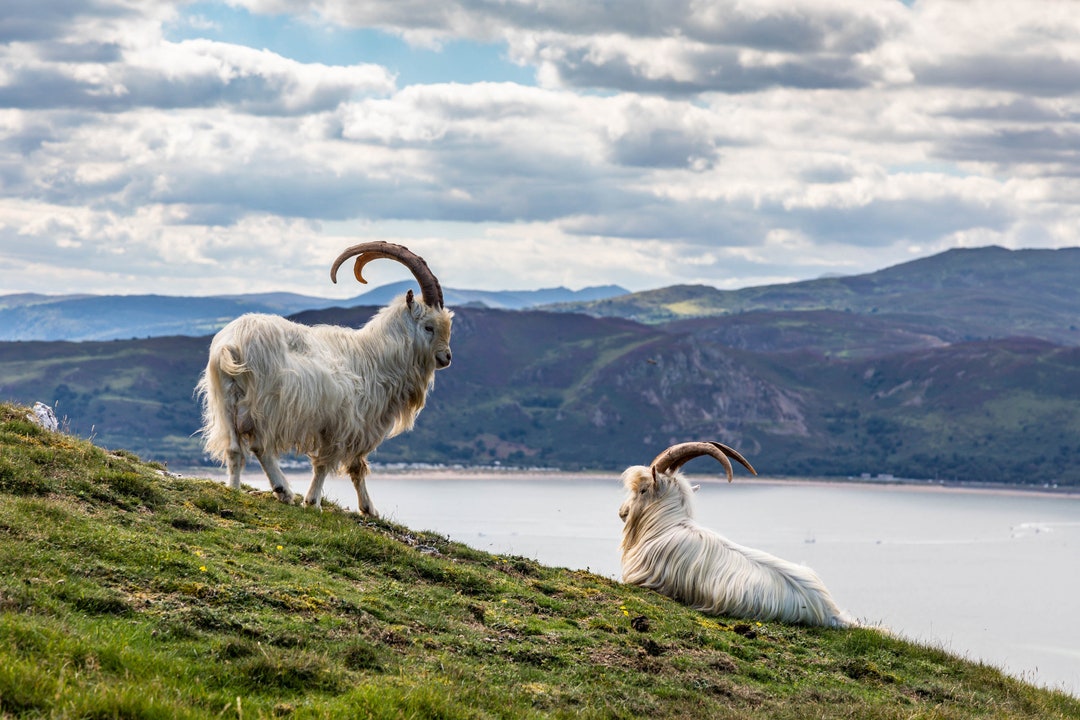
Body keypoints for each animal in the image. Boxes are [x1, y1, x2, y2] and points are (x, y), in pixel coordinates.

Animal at [196, 242, 453, 517]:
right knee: (261, 447)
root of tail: (232, 344)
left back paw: (234, 489)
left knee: (234, 449)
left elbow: (355, 467)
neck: (374, 356)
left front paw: (367, 509)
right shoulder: (345, 423)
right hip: (267, 405)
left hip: (225, 402)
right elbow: (330, 464)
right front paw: (316, 502)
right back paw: (284, 491)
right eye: (428, 327)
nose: (446, 357)